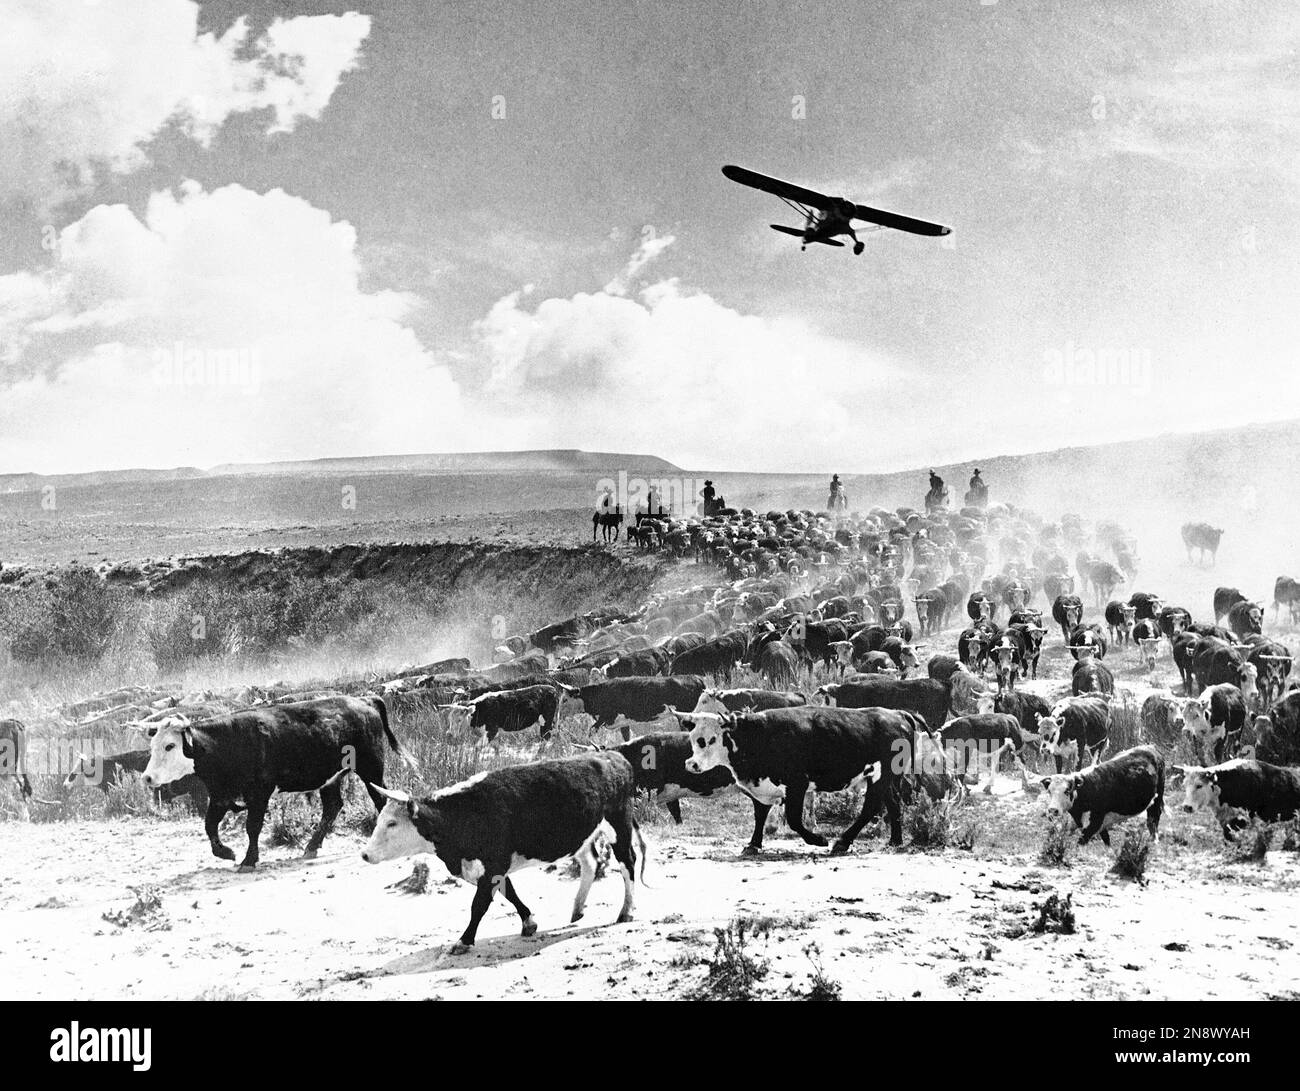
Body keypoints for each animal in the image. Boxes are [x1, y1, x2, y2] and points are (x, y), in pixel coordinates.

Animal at [142, 696, 411, 870]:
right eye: (153, 745)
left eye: (170, 745)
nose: (147, 777)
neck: (227, 743)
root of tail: (364, 700)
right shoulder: (220, 796)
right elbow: (209, 826)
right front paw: (226, 853)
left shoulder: (259, 793)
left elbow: (252, 826)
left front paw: (249, 860)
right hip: (330, 778)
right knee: (333, 806)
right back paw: (311, 847)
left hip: (371, 768)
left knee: (380, 800)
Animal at [362, 753, 643, 949]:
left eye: (392, 823)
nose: (365, 854)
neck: (462, 815)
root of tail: (615, 757)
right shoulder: (493, 866)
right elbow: (510, 894)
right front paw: (529, 922)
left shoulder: (493, 864)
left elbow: (479, 905)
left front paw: (464, 941)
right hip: (582, 835)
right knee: (590, 862)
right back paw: (578, 908)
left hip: (619, 823)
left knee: (627, 863)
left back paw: (626, 911)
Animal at [680, 706, 923, 851]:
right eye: (693, 737)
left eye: (712, 739)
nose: (692, 764)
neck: (760, 735)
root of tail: (897, 714)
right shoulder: (761, 789)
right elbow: (760, 816)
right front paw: (753, 844)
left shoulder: (797, 785)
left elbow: (794, 820)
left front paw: (817, 839)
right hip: (888, 779)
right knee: (894, 803)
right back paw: (895, 841)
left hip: (880, 776)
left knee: (871, 807)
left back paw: (842, 842)